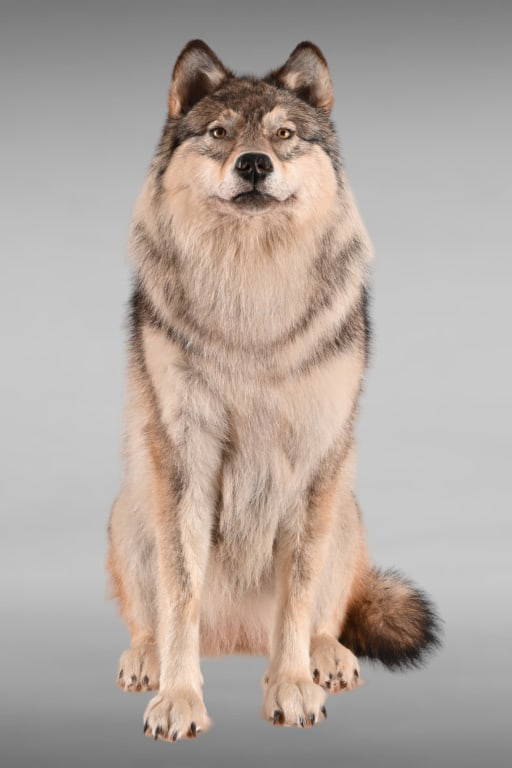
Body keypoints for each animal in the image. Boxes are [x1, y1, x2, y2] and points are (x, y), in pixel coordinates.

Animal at [107, 39, 440, 741]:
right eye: (219, 133)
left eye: (284, 135)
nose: (254, 163)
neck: (251, 299)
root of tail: (235, 639)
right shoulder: (187, 460)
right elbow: (180, 595)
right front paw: (179, 698)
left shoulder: (312, 465)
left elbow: (299, 598)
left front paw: (292, 687)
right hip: (134, 506)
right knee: (154, 617)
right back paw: (146, 658)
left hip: (343, 512)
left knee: (327, 614)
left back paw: (327, 659)